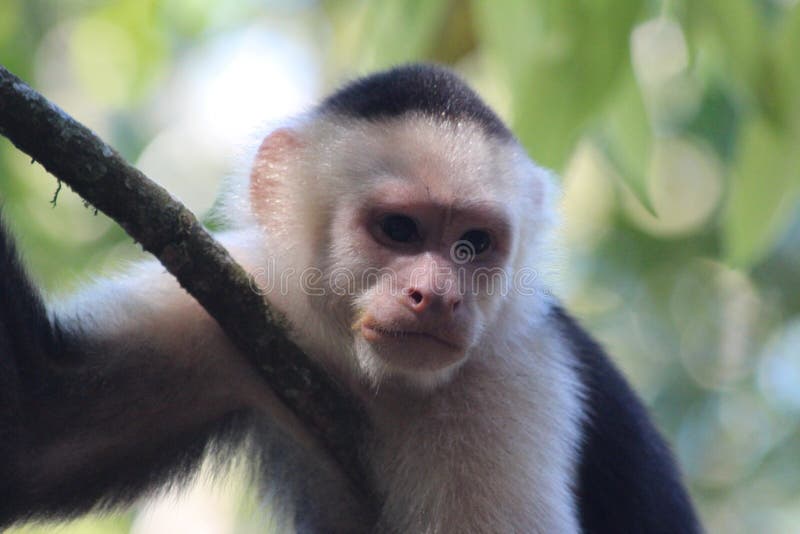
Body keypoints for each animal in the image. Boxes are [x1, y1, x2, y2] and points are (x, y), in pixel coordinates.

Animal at [0, 64, 701, 533]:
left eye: (473, 244)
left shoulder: (503, 387)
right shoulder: (239, 302)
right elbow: (36, 432)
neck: (364, 375)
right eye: (399, 229)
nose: (437, 297)